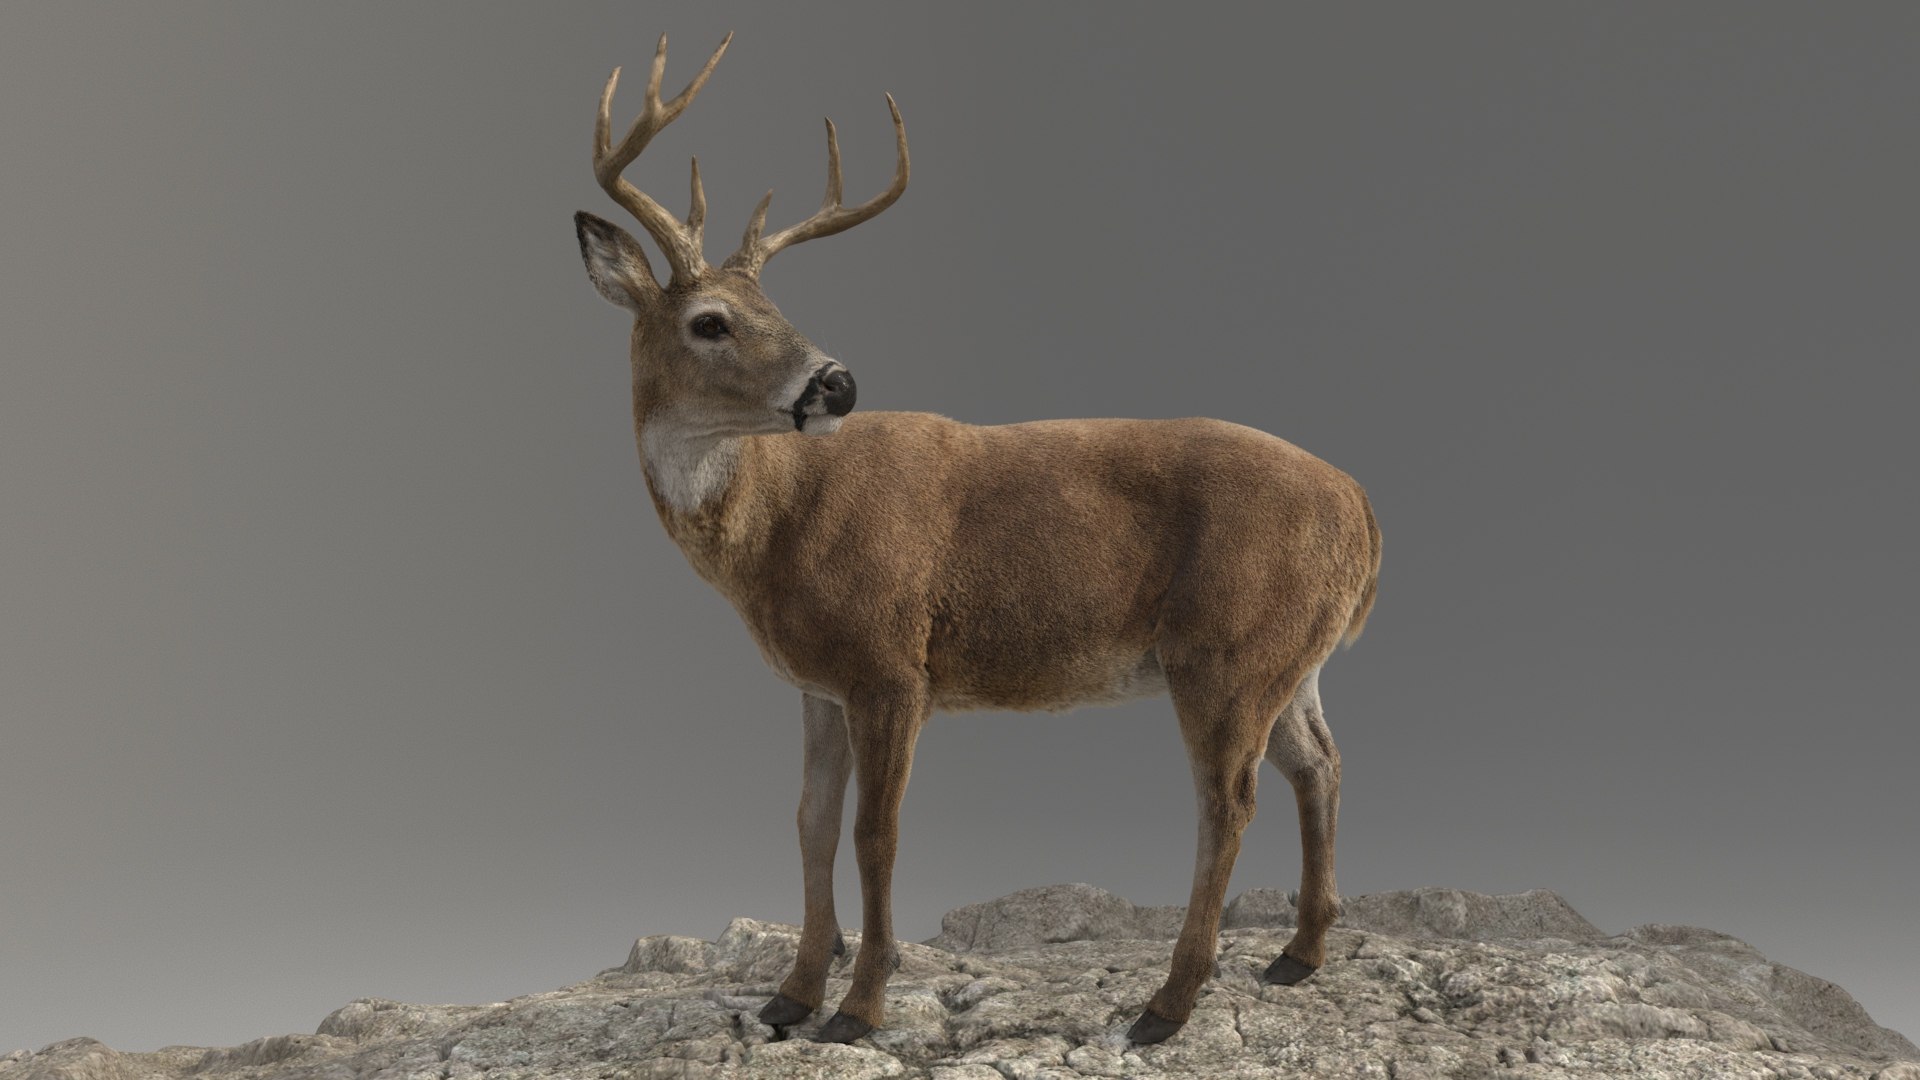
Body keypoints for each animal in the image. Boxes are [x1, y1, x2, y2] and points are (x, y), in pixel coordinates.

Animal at [571, 33, 1382, 1047]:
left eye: (779, 313)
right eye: (708, 321)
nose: (836, 383)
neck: (775, 530)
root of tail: (1362, 504)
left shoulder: (891, 662)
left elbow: (875, 833)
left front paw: (859, 1008)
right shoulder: (816, 683)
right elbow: (808, 823)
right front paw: (790, 995)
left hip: (1227, 646)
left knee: (1227, 799)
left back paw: (1167, 1005)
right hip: (1290, 653)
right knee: (1321, 763)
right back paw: (1296, 957)